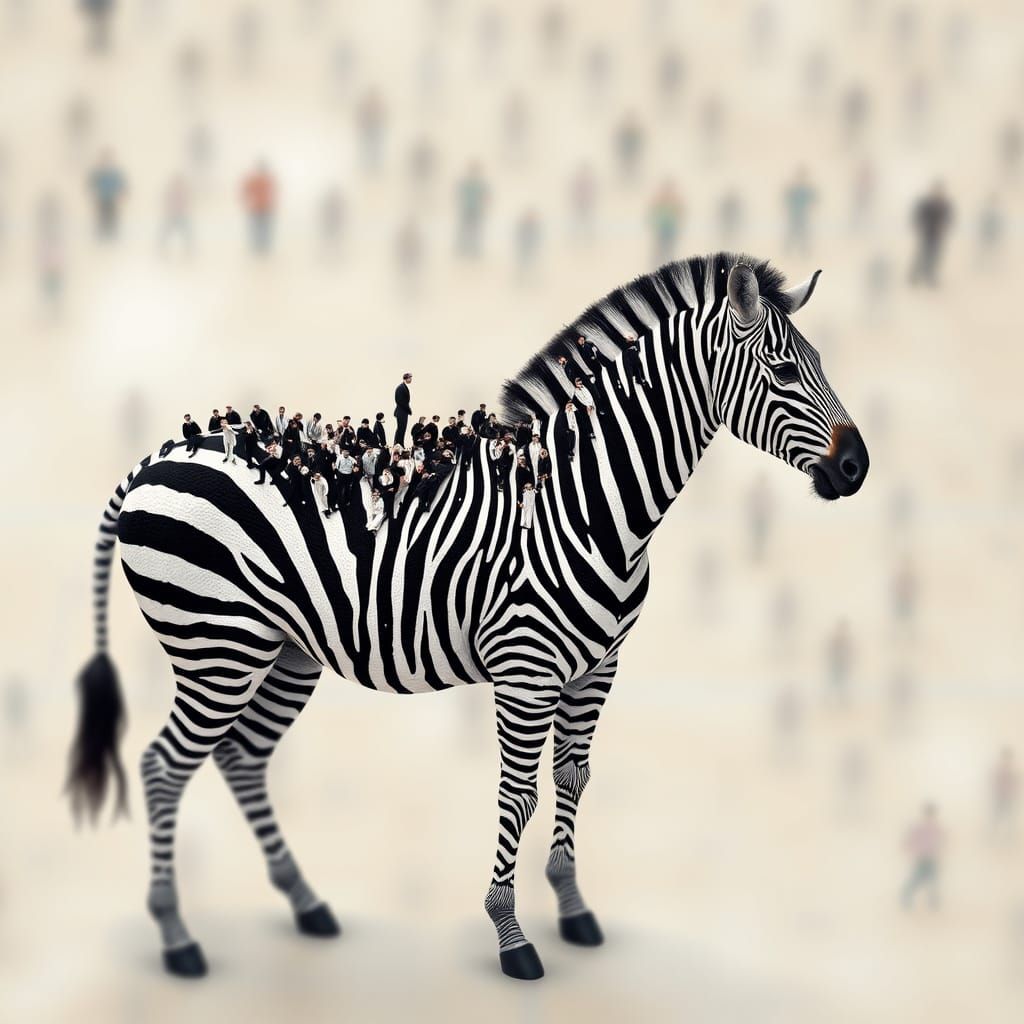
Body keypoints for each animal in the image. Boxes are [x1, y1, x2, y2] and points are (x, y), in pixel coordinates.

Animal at [67, 252, 869, 981]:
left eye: (819, 363)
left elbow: (573, 776)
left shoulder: (597, 668)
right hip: (214, 644)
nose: (856, 468)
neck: (586, 506)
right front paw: (511, 936)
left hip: (282, 651)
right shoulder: (526, 668)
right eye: (783, 371)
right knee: (164, 766)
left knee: (241, 757)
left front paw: (573, 909)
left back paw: (306, 903)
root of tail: (152, 460)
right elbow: (519, 793)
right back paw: (178, 937)